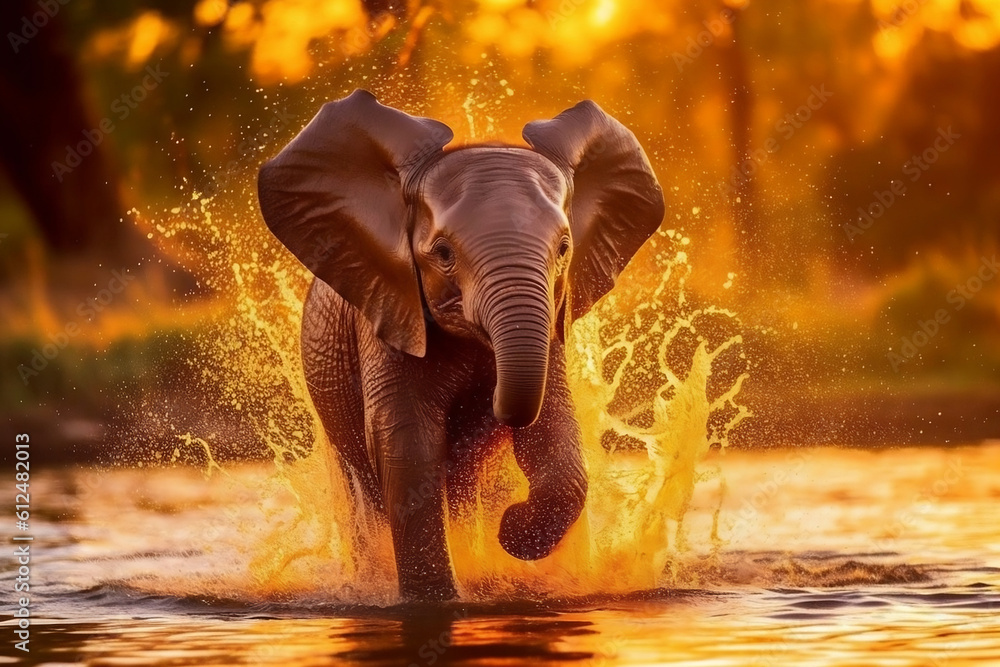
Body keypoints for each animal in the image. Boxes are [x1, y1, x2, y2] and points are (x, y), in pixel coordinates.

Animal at [257, 89, 664, 601]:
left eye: (564, 249)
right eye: (443, 254)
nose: (490, 405)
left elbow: (555, 433)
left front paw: (512, 537)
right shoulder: (389, 316)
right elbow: (405, 442)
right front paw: (436, 599)